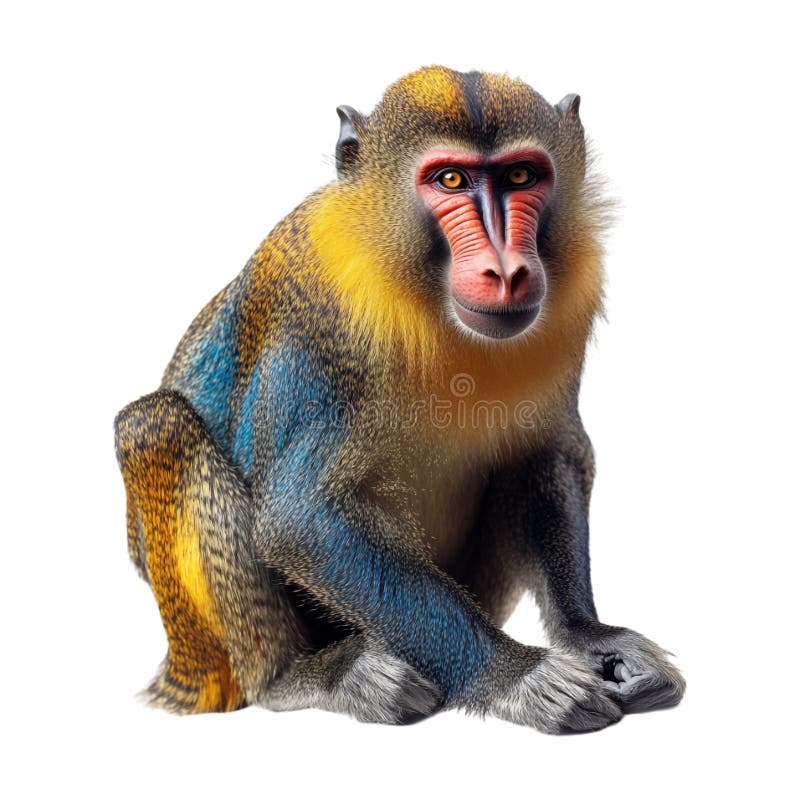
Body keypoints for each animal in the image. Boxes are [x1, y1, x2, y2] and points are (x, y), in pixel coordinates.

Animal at [114, 66, 685, 733]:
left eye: (521, 176)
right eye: (450, 180)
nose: (506, 270)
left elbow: (547, 453)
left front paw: (589, 637)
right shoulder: (324, 313)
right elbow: (301, 519)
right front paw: (518, 674)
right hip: (210, 659)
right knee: (156, 425)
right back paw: (301, 676)